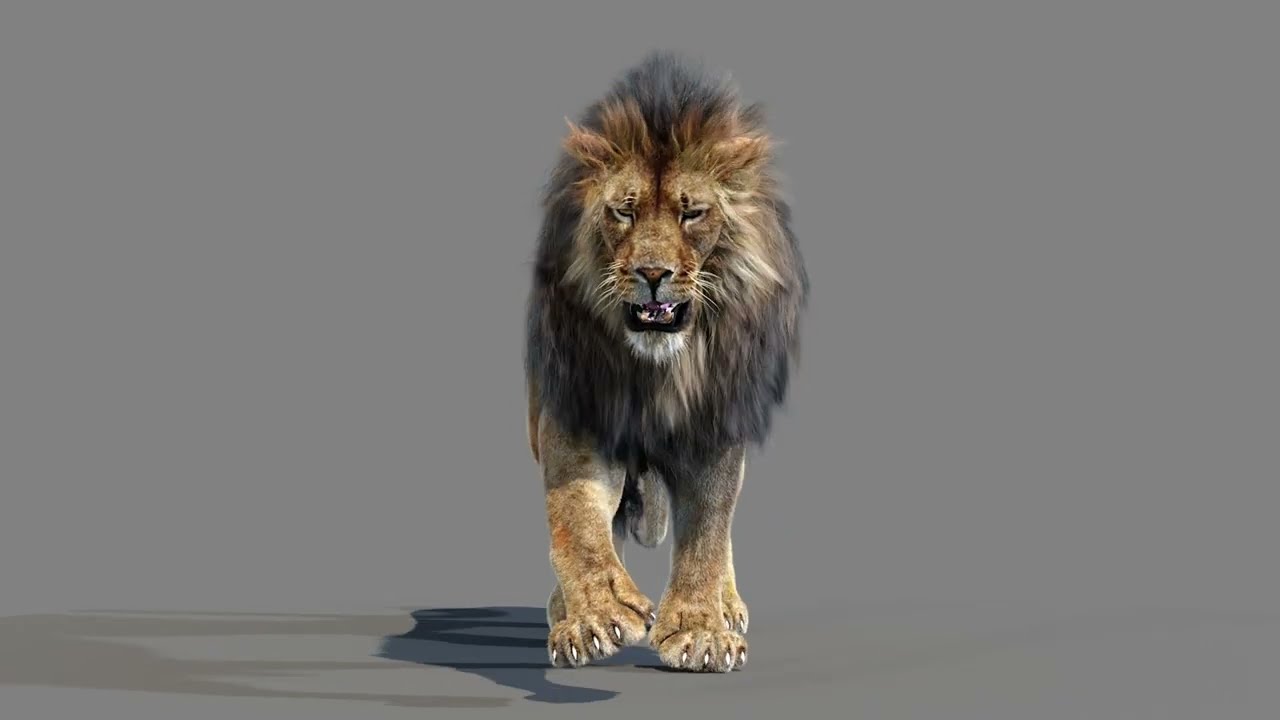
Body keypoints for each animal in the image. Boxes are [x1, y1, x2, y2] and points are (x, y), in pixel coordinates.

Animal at [524, 51, 809, 673]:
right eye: (623, 212)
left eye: (692, 213)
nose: (652, 274)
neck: (655, 369)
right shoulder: (578, 407)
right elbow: (576, 518)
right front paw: (595, 616)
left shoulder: (716, 420)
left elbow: (707, 529)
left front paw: (700, 629)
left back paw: (727, 605)